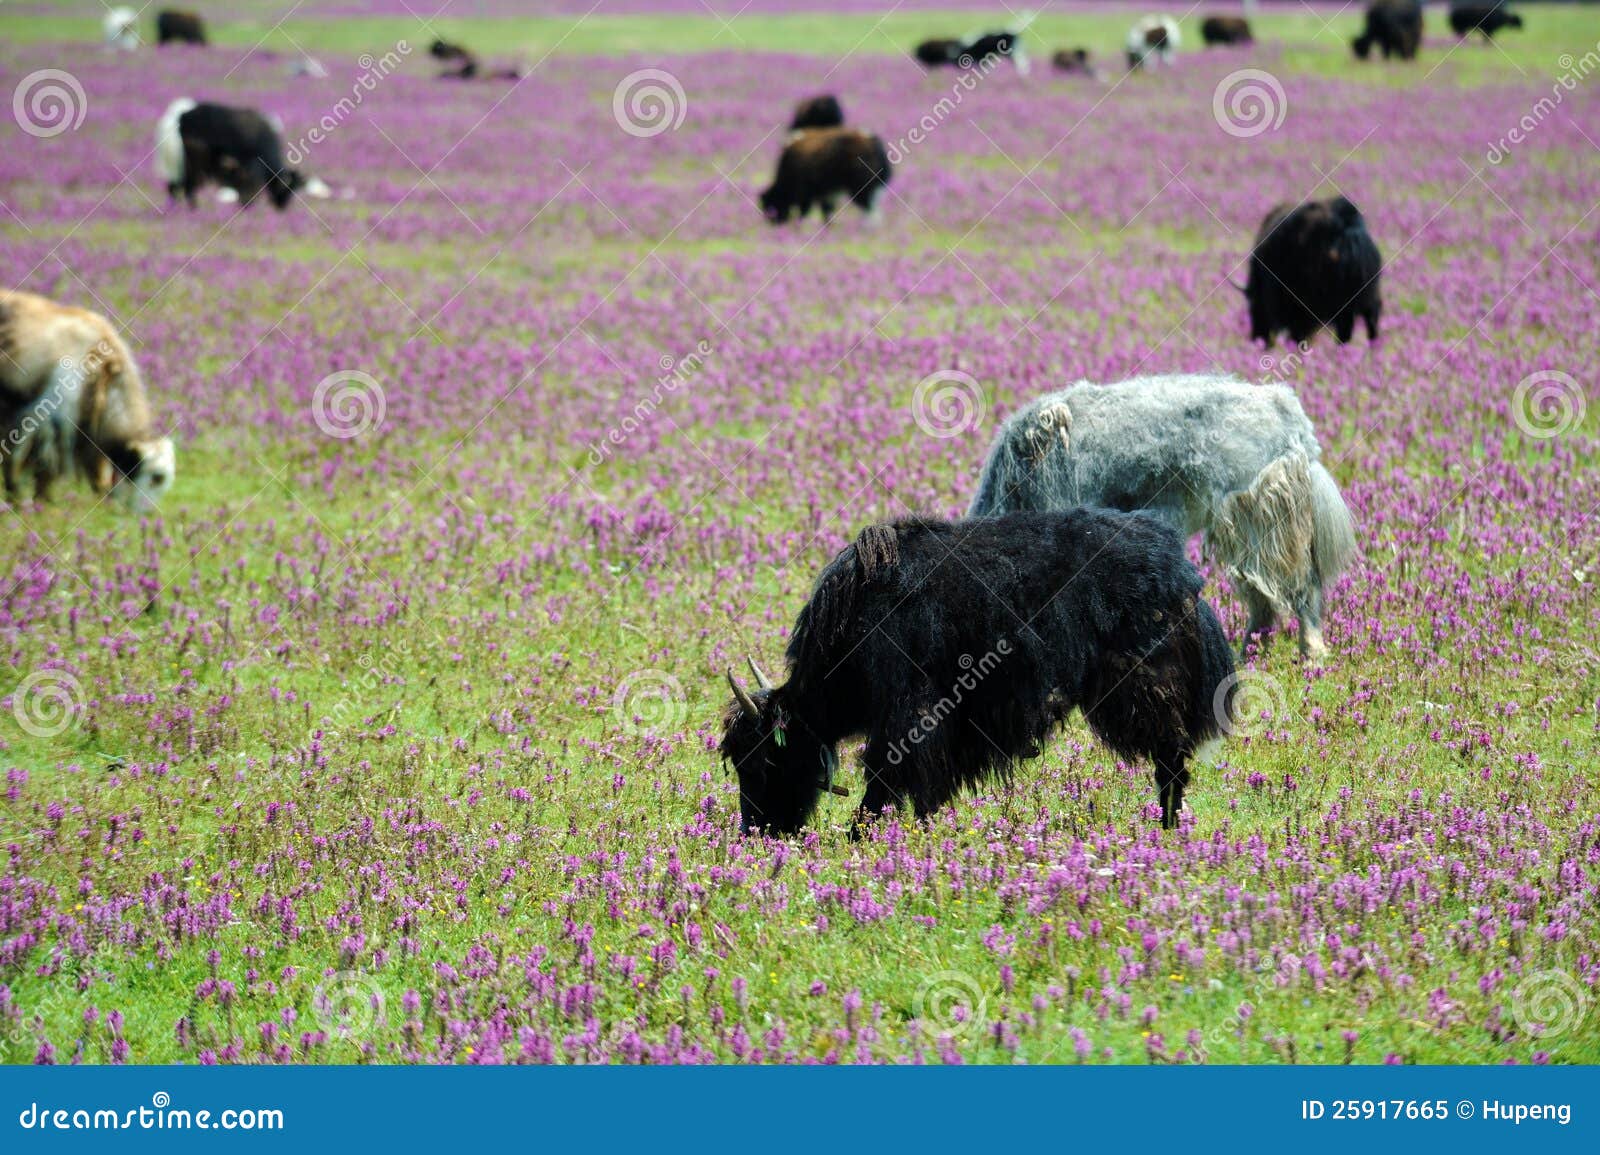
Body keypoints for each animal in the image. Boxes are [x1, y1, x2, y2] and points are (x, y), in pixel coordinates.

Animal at [155, 99, 305, 210]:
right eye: (286, 189)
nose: (282, 207)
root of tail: (181, 116)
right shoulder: (250, 172)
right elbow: (249, 191)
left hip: (183, 167)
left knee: (175, 187)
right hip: (193, 165)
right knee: (187, 188)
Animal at [720, 508, 1237, 835]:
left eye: (766, 759)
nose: (757, 832)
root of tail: (1179, 568)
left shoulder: (908, 713)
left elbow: (885, 777)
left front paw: (859, 836)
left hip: (1145, 684)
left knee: (1170, 757)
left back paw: (1166, 830)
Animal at [760, 128, 891, 226]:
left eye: (770, 203)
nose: (773, 223)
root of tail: (871, 140)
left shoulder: (805, 193)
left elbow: (804, 211)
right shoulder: (828, 194)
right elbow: (827, 211)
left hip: (861, 192)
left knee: (872, 214)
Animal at [968, 375, 1357, 662]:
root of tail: (1288, 412)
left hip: (1262, 517)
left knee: (1298, 586)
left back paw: (1310, 654)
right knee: (1263, 597)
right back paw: (1248, 655)